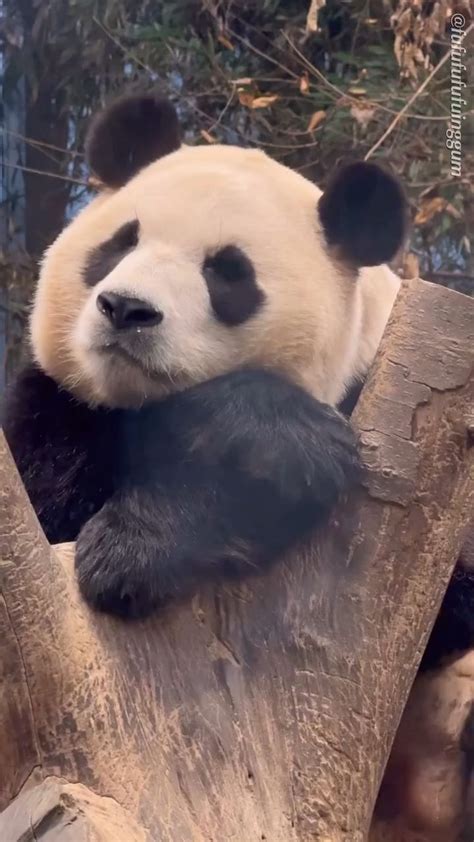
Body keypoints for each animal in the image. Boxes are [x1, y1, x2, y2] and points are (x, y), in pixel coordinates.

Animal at [2, 93, 472, 841]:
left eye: (227, 272)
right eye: (120, 243)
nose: (125, 308)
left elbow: (450, 602)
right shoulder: (58, 407)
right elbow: (49, 520)